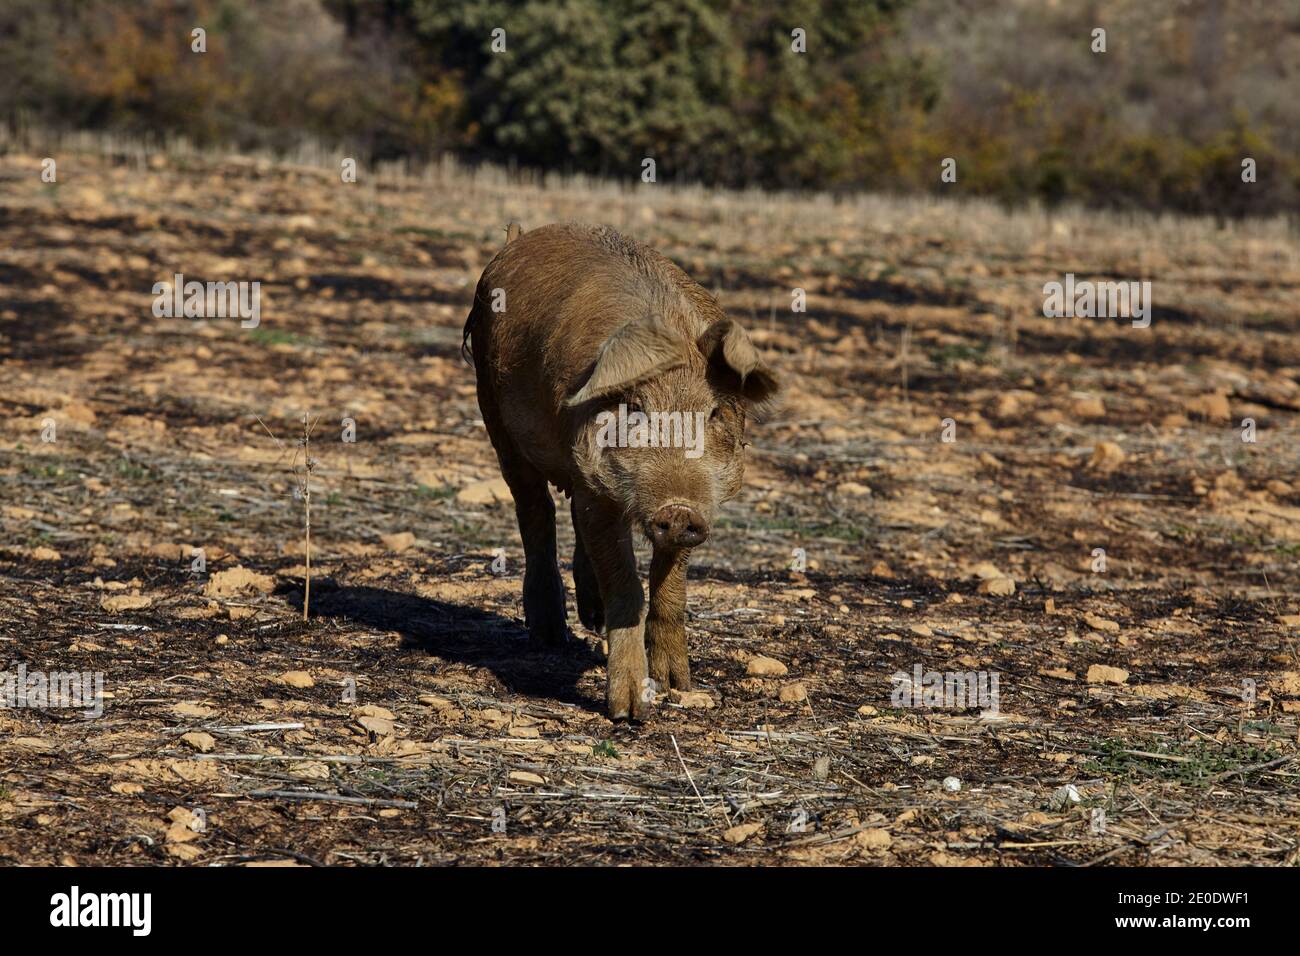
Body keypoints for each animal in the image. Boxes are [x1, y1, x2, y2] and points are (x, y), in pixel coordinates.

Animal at [463, 222, 779, 720]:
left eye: (714, 414)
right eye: (635, 410)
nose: (679, 508)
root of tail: (517, 238)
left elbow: (671, 583)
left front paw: (678, 685)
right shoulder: (596, 486)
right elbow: (626, 583)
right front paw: (631, 712)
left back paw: (591, 622)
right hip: (494, 414)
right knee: (535, 512)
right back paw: (551, 635)